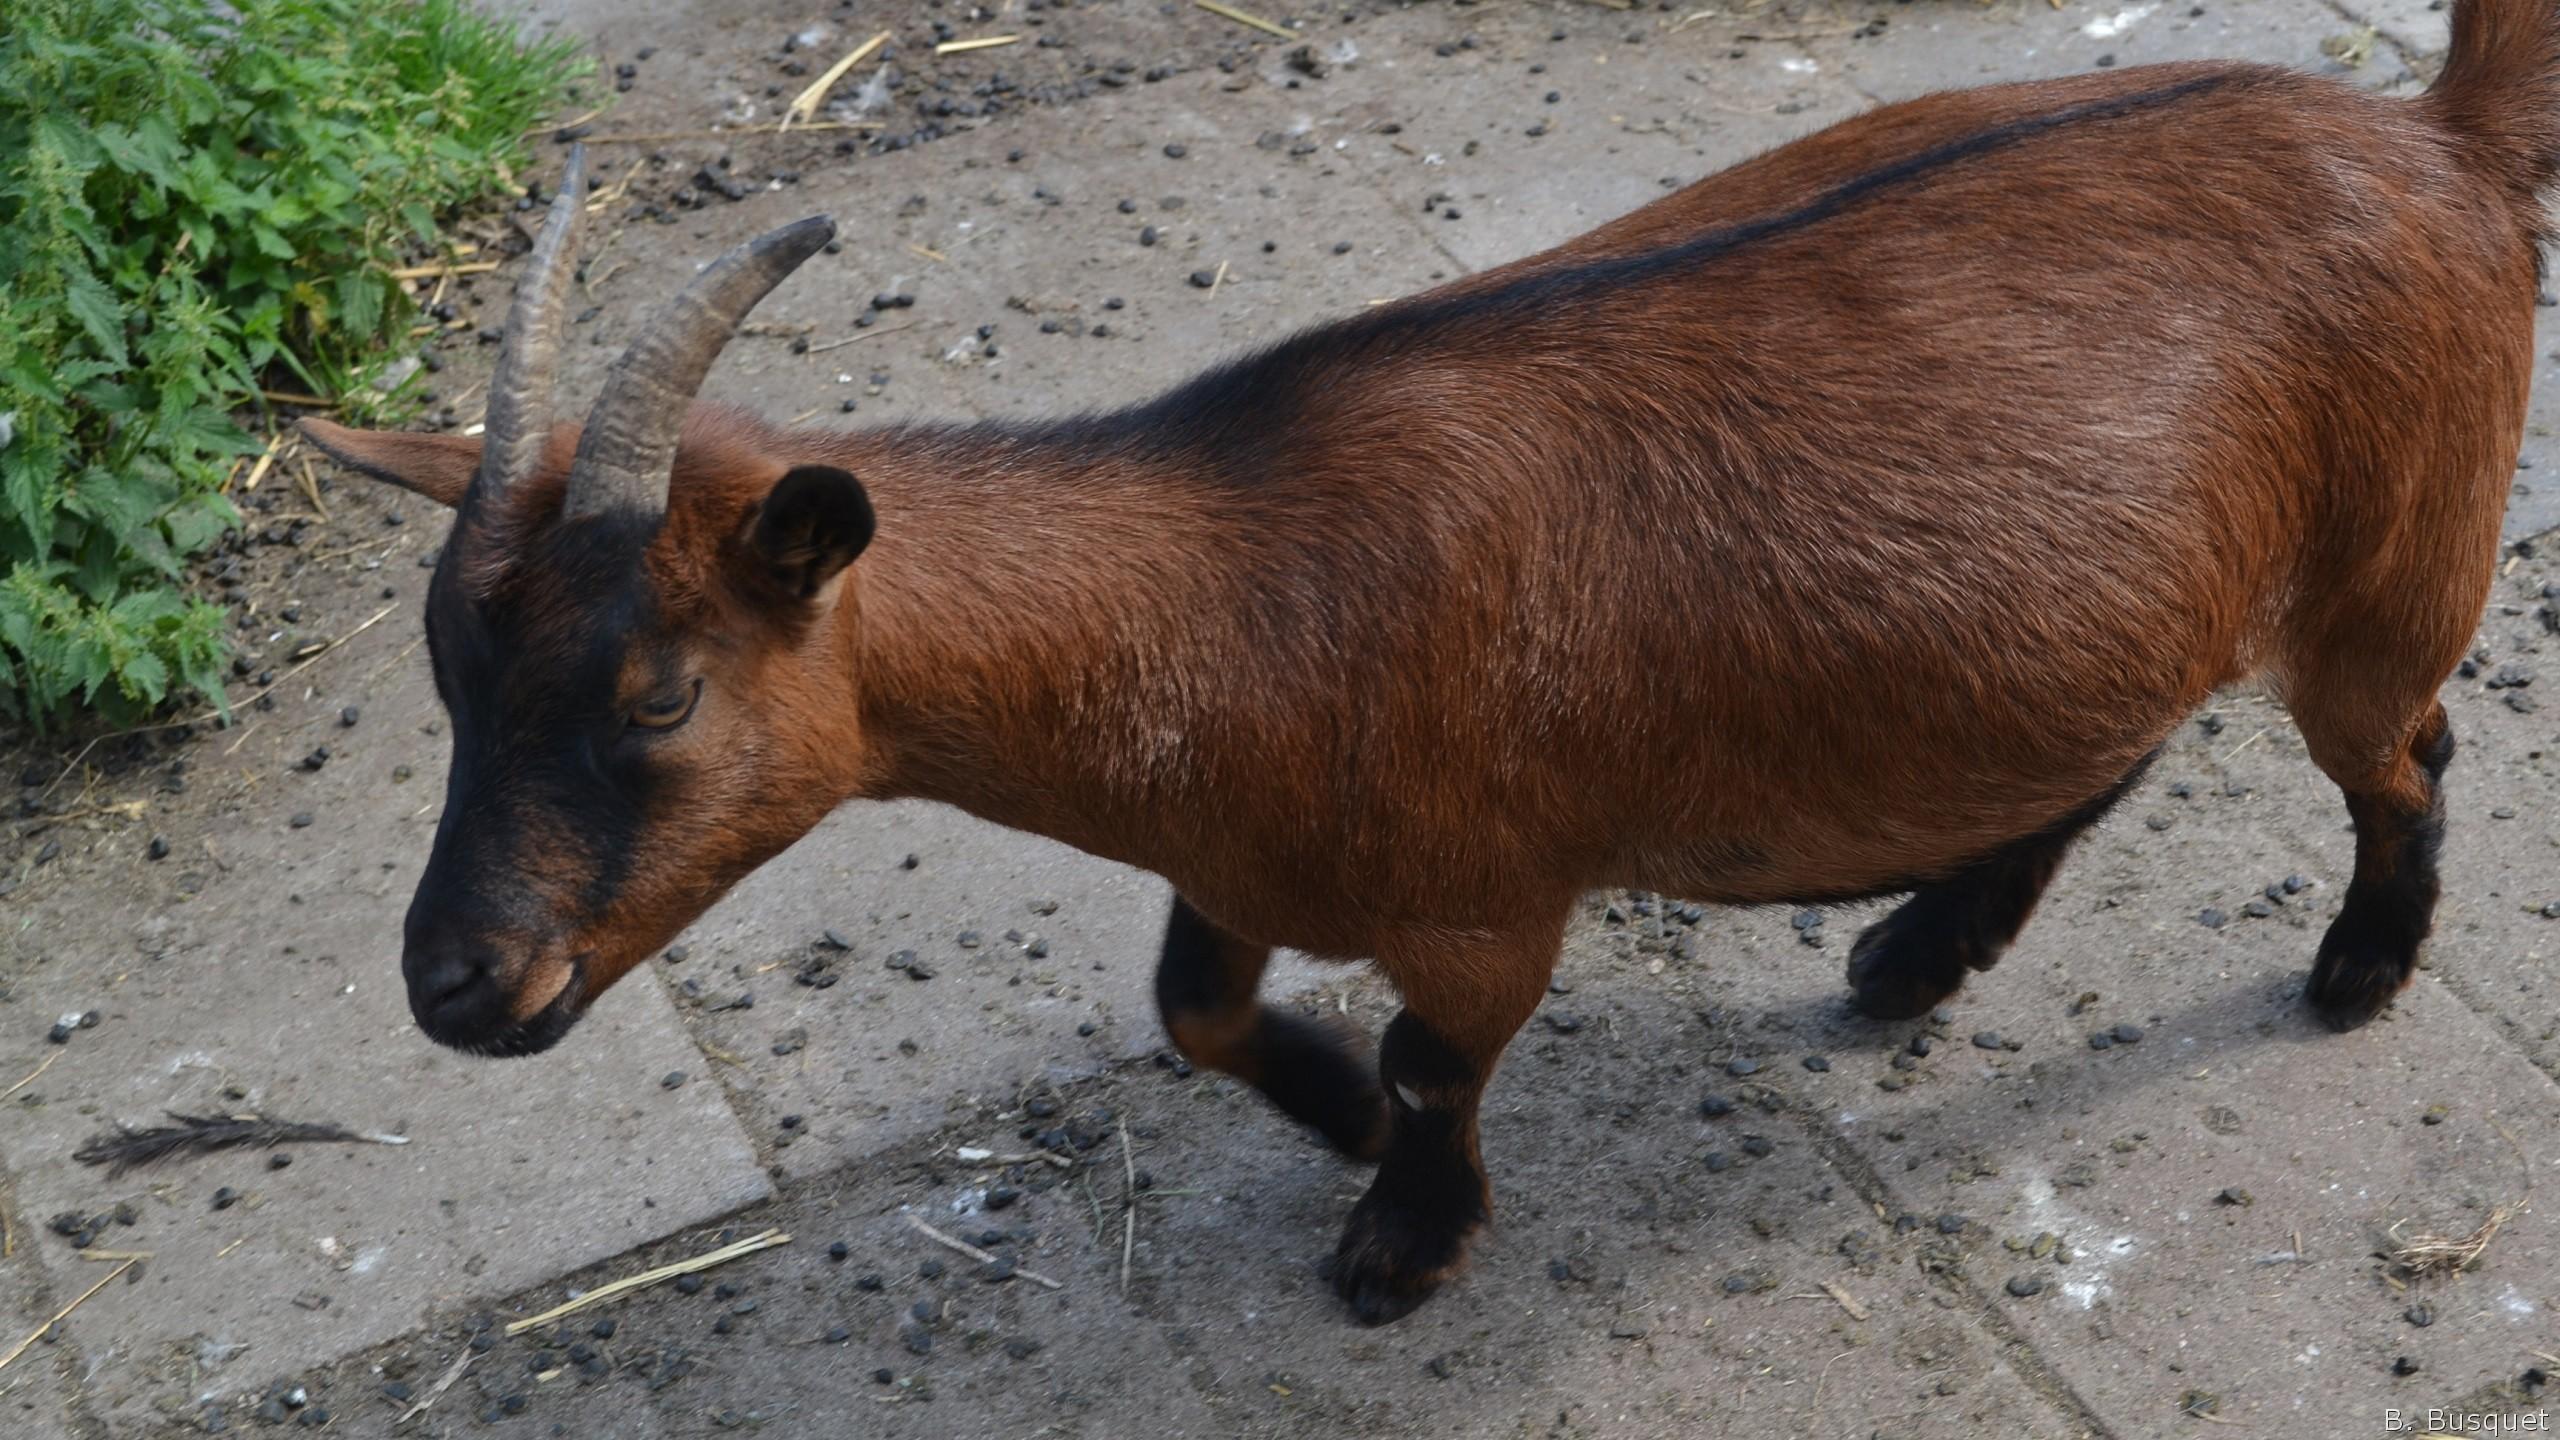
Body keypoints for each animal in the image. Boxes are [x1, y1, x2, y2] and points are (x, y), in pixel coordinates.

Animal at [300, 0, 2560, 1323]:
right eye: (443, 686)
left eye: (655, 695)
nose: (450, 988)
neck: (1228, 593)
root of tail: (2441, 141)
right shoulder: (1233, 850)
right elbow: (1195, 1006)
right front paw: (1320, 1114)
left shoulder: (1489, 899)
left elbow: (1432, 1056)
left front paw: (1397, 1232)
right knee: (2102, 750)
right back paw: (1919, 952)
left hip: (2388, 574)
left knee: (2402, 756)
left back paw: (2355, 970)